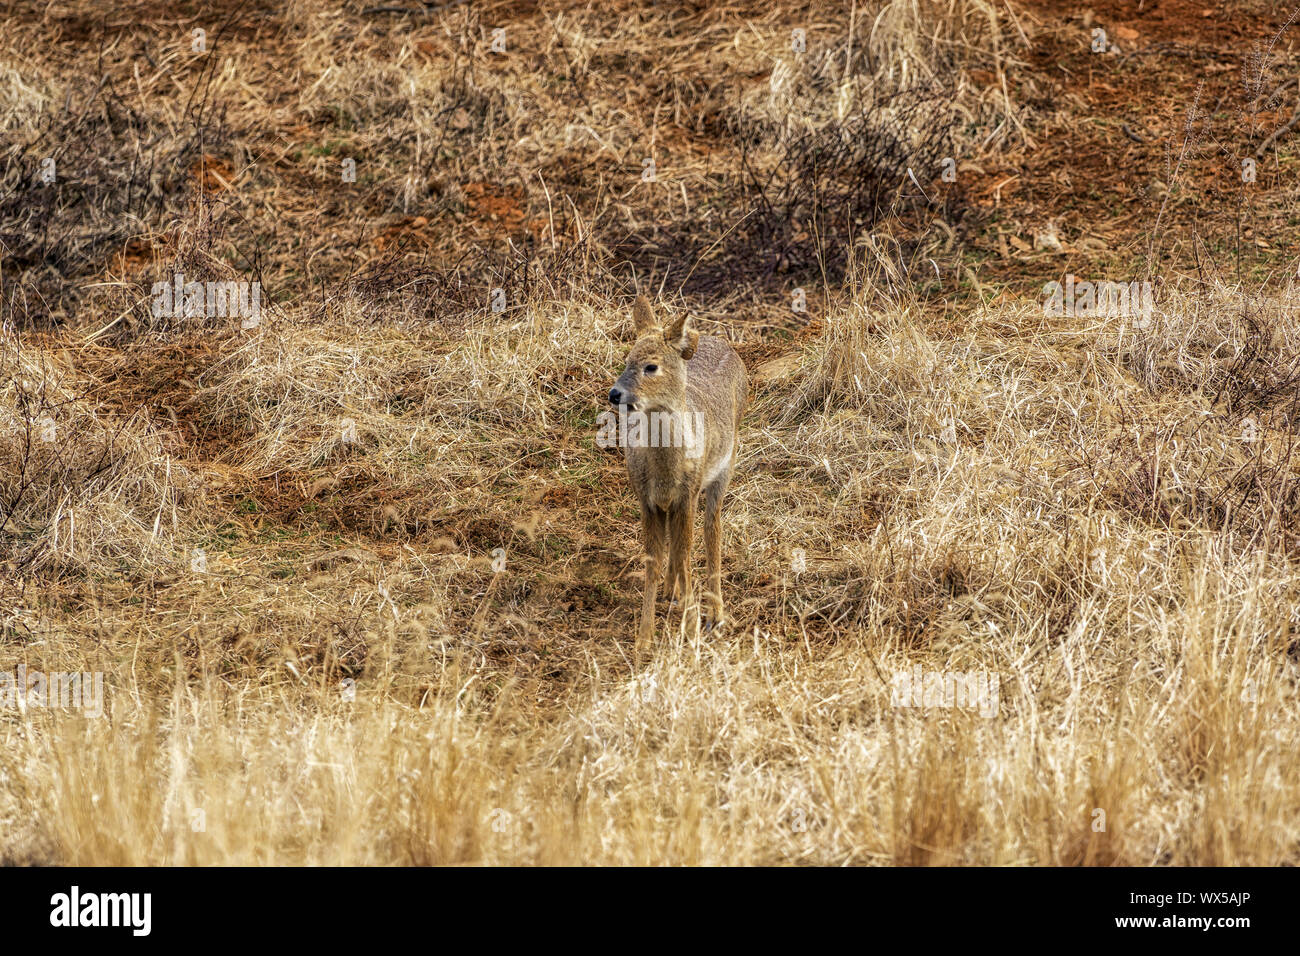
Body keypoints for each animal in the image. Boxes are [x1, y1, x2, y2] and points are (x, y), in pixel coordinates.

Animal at [607, 295, 748, 655]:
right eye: (626, 359)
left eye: (651, 366)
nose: (615, 394)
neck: (665, 469)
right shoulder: (647, 499)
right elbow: (653, 559)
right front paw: (644, 637)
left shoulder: (688, 493)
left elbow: (686, 555)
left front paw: (692, 626)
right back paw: (674, 593)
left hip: (723, 470)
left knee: (712, 531)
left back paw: (715, 611)